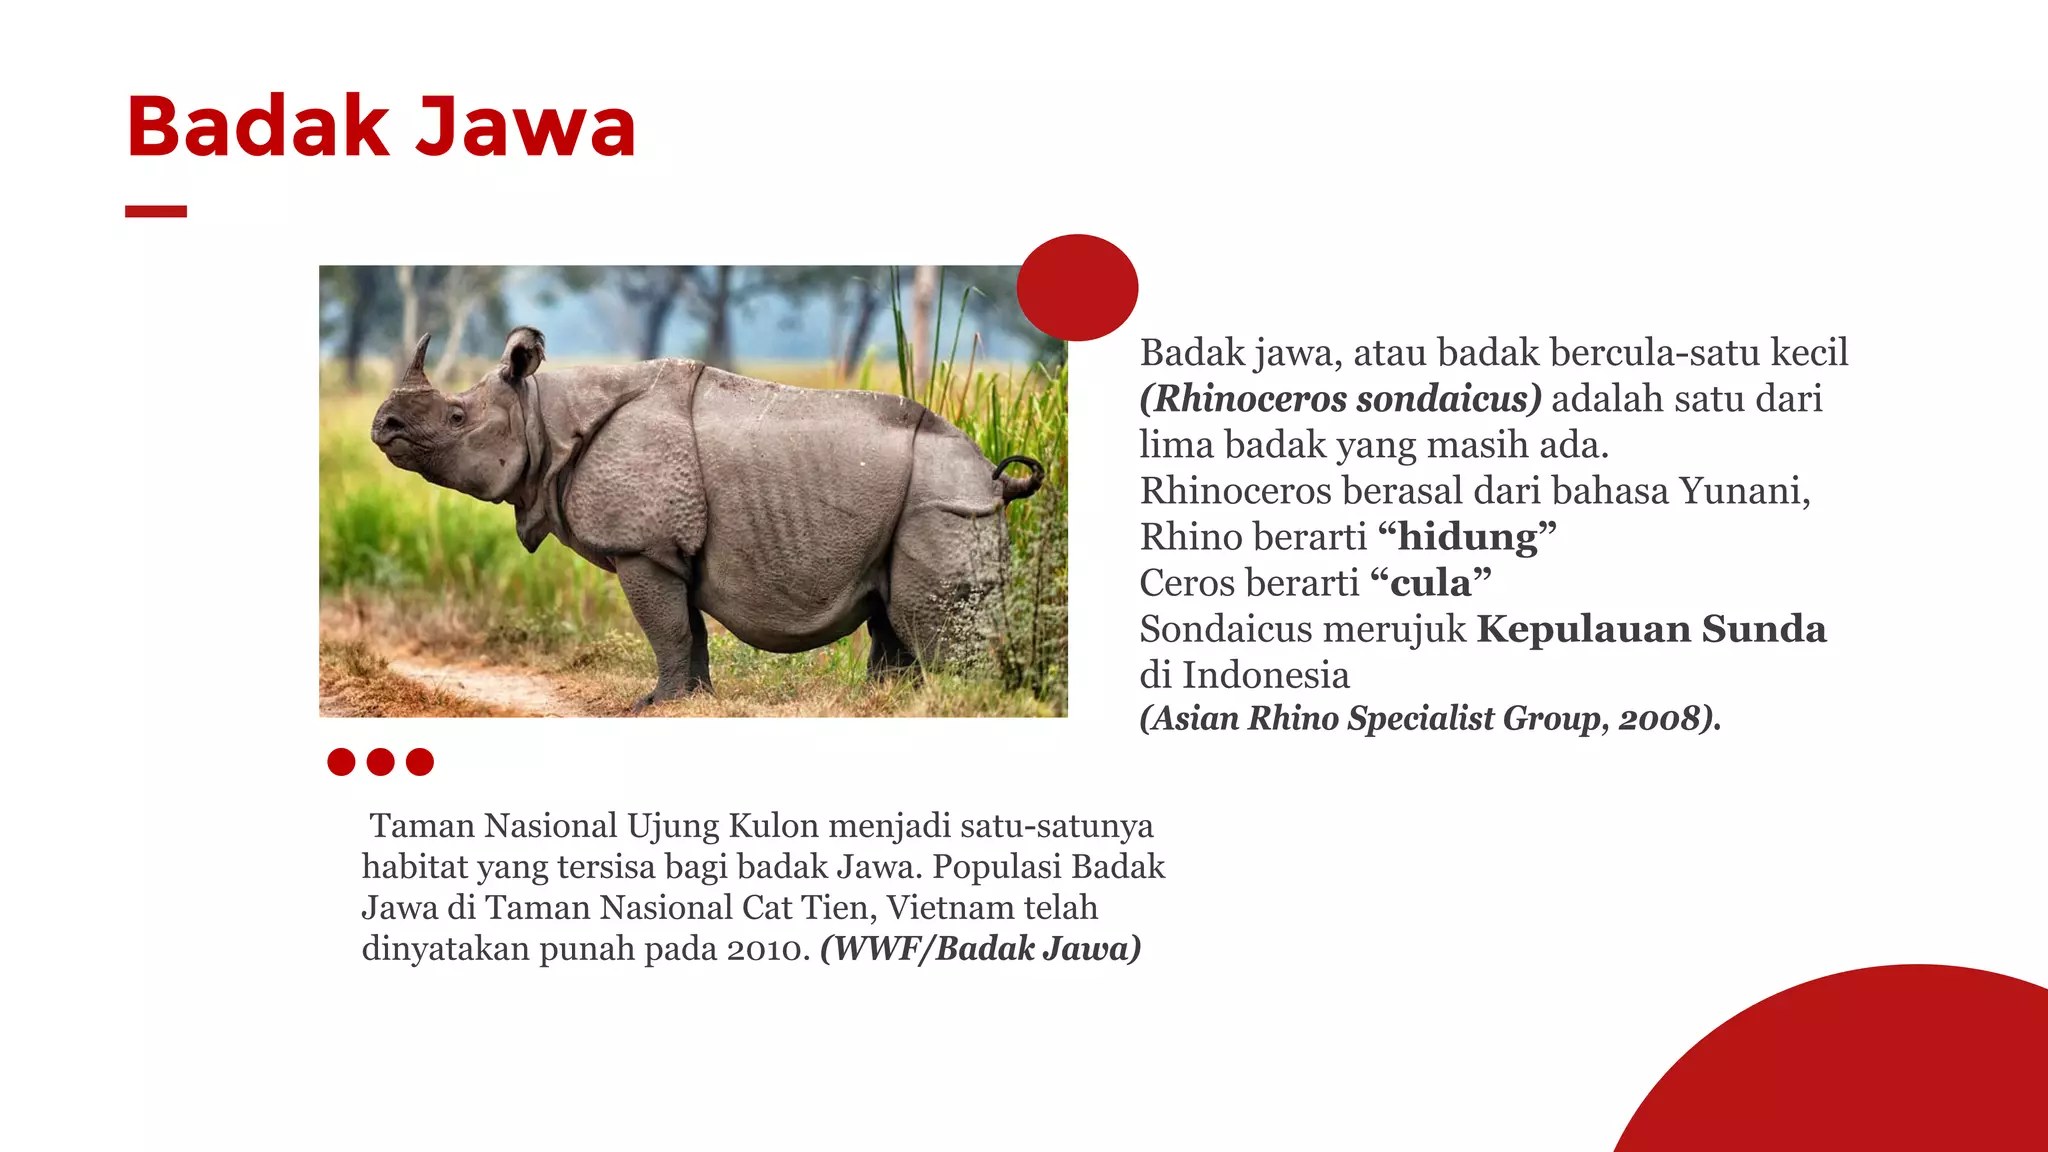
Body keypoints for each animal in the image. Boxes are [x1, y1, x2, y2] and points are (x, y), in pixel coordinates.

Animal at [370, 327, 1044, 710]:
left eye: (456, 418)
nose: (383, 427)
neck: (543, 418)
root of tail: (994, 478)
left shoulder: (643, 547)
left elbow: (665, 630)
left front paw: (651, 706)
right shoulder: (668, 551)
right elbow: (687, 630)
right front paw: (689, 700)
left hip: (947, 499)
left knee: (927, 622)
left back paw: (963, 700)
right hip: (928, 500)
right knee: (891, 617)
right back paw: (887, 704)